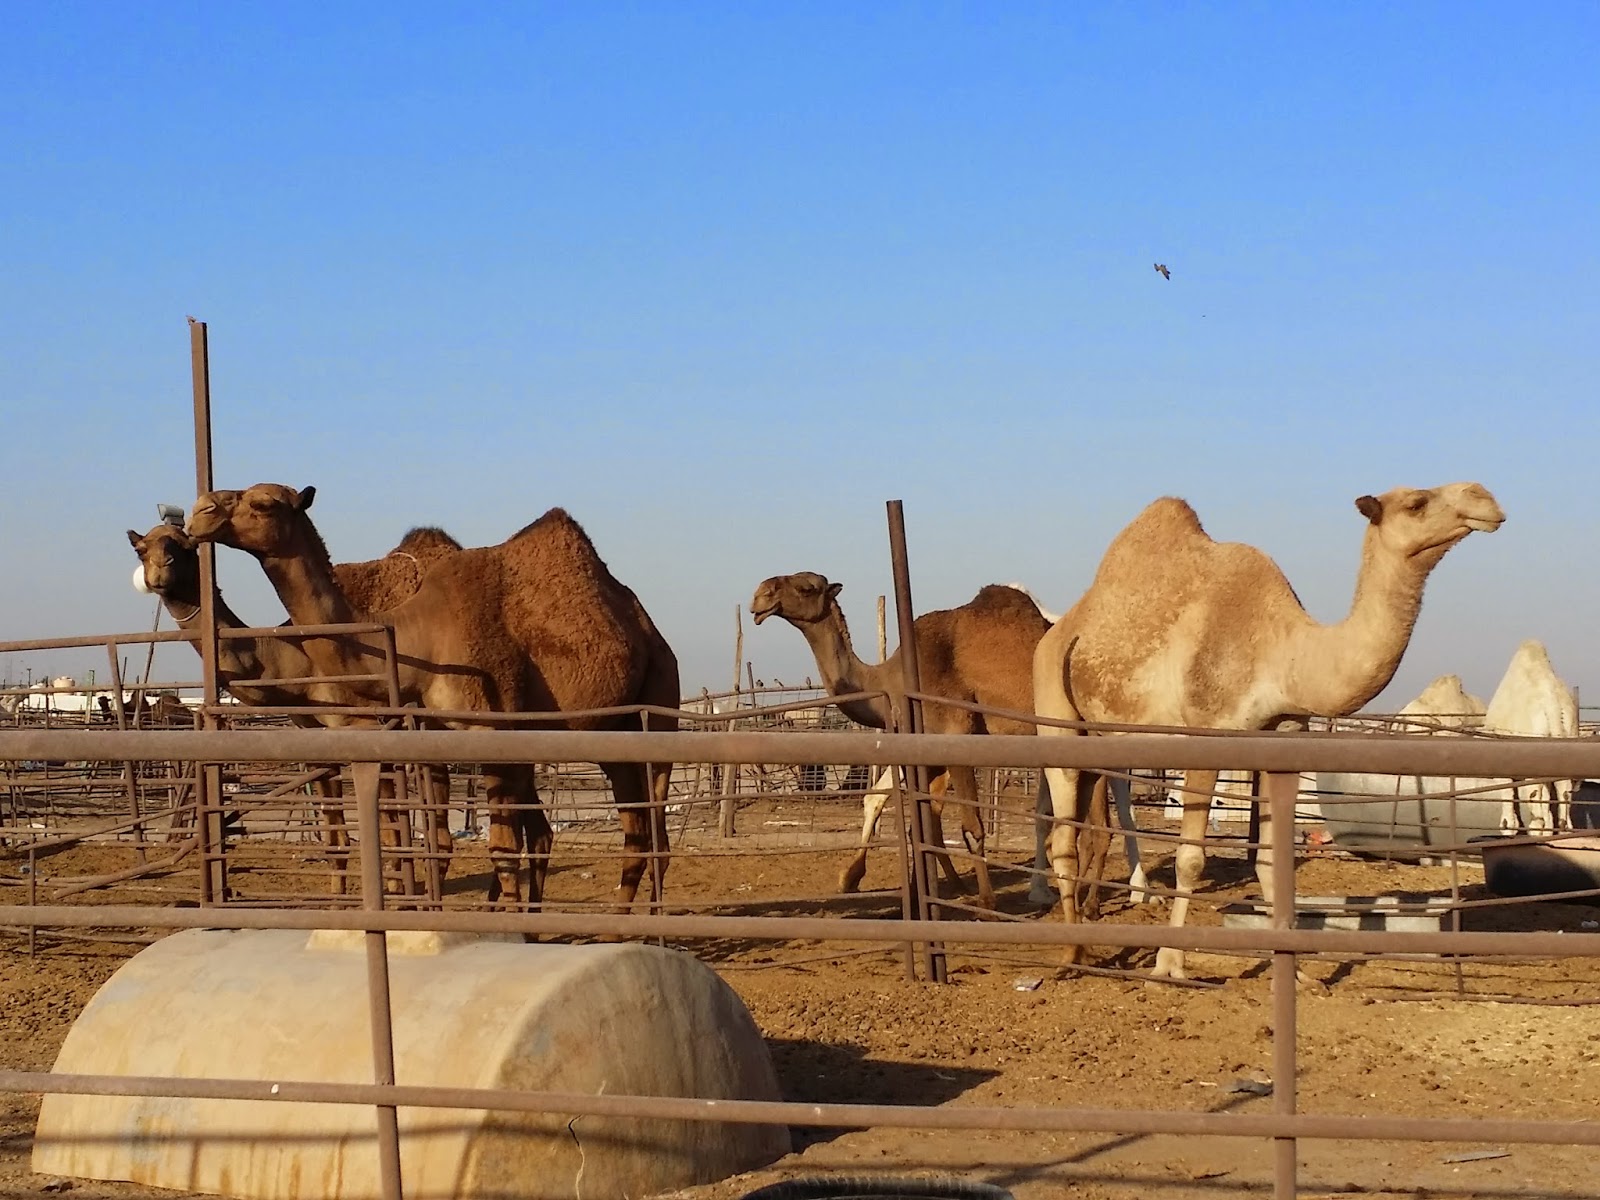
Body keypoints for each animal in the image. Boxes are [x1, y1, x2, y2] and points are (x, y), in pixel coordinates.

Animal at [128, 516, 463, 890]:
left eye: (186, 548)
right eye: (140, 549)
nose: (160, 571)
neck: (296, 657)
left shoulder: (367, 727)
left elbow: (388, 835)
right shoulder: (315, 735)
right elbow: (336, 840)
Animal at [185, 483, 679, 910]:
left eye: (263, 503)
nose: (198, 513)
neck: (415, 636)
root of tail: (652, 633)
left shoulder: (485, 729)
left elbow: (496, 849)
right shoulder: (430, 733)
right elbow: (423, 842)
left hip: (659, 702)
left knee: (653, 833)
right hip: (605, 733)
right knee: (631, 833)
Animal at [750, 573, 1053, 909]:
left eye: (807, 588)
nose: (760, 596)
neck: (891, 680)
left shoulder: (955, 734)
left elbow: (968, 828)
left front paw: (984, 902)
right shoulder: (925, 753)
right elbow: (919, 826)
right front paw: (918, 893)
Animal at [1034, 482, 1504, 980]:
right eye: (1417, 503)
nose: (1484, 497)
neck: (1282, 653)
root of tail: (1056, 632)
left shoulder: (1280, 735)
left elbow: (1269, 857)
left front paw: (1296, 972)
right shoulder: (1208, 736)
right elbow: (1190, 859)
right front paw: (1169, 966)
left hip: (1097, 742)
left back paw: (1083, 948)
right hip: (1056, 718)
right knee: (1062, 840)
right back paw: (1070, 957)